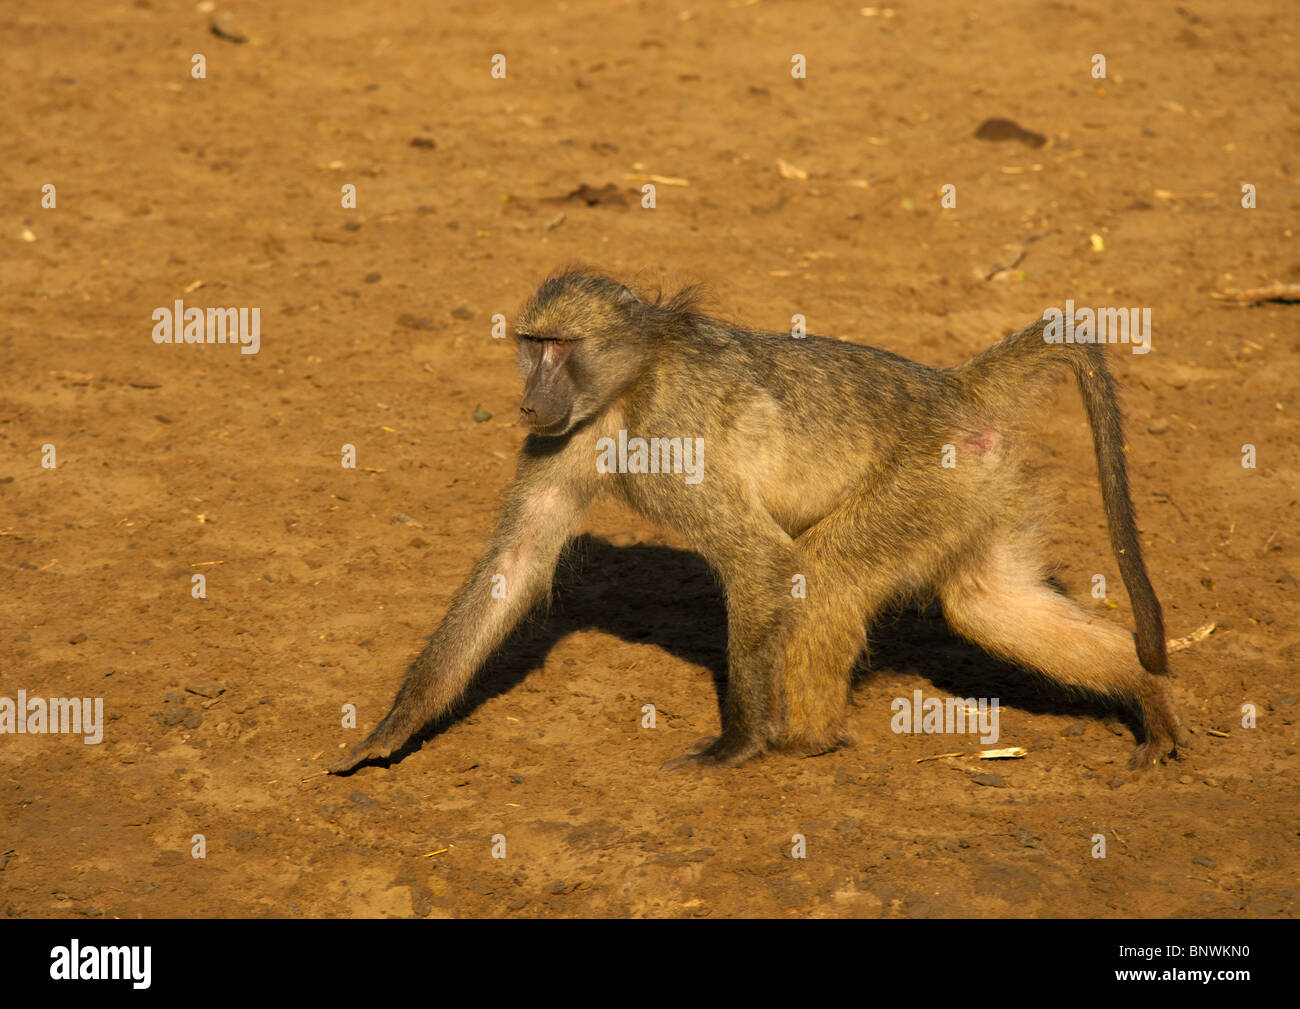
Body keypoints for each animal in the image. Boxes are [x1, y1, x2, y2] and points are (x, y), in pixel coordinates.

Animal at [330, 268, 1187, 775]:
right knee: (987, 602)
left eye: (560, 345)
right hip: (980, 485)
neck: (629, 381)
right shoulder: (563, 436)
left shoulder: (669, 432)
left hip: (934, 477)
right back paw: (1145, 692)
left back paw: (807, 738)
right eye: (530, 345)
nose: (528, 400)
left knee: (827, 574)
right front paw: (390, 732)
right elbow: (516, 559)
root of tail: (955, 387)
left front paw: (736, 744)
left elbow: (762, 561)